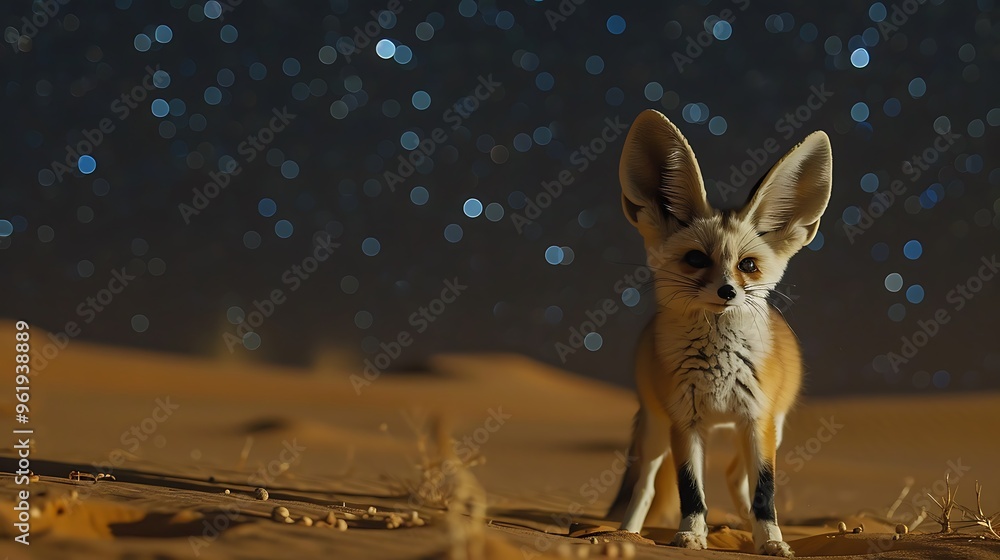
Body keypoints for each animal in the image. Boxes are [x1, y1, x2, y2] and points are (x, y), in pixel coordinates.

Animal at [605, 109, 833, 557]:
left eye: (747, 265)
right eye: (696, 259)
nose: (727, 292)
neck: (719, 370)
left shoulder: (757, 419)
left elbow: (765, 492)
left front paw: (770, 539)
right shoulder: (685, 421)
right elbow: (691, 490)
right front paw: (692, 535)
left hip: (771, 430)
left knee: (734, 477)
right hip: (656, 430)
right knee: (644, 487)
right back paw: (627, 533)